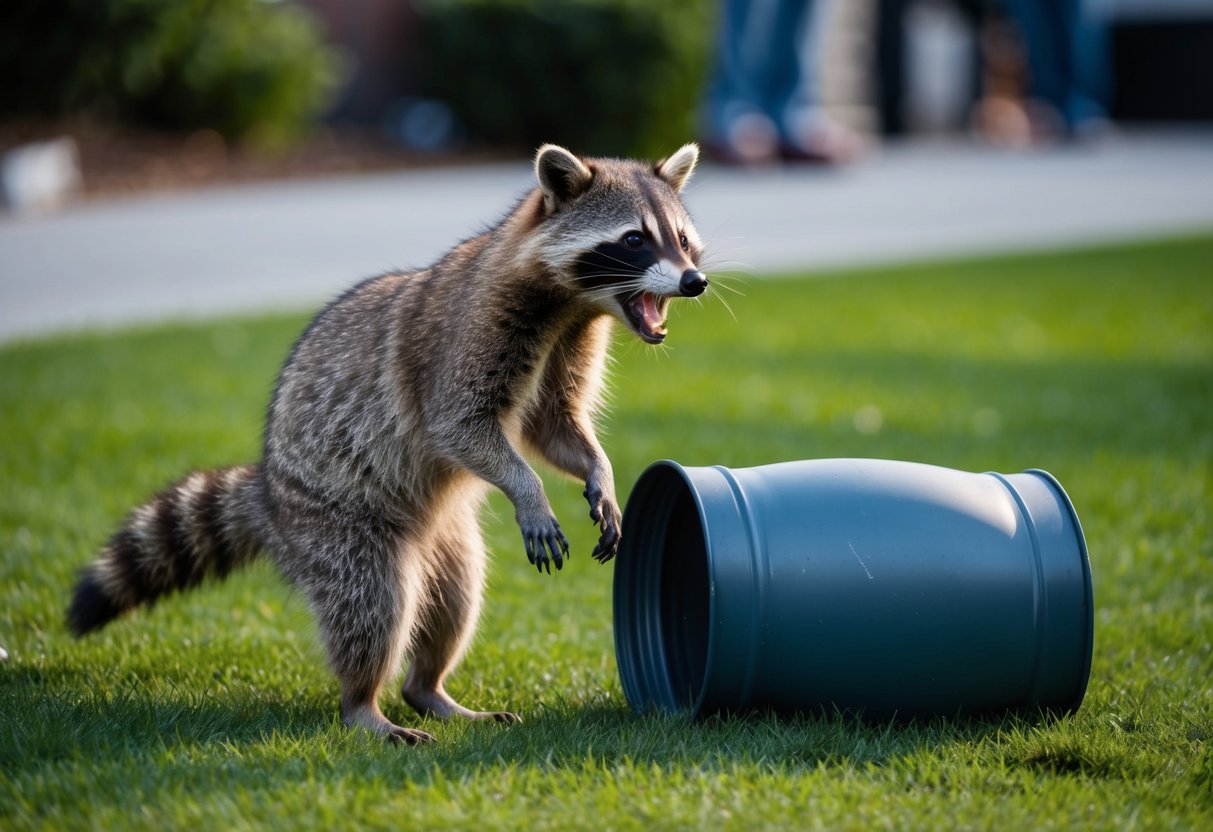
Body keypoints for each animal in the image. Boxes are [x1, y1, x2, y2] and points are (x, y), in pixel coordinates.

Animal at [67, 143, 708, 744]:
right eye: (633, 240)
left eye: (682, 240)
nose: (694, 281)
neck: (574, 306)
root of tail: (270, 495)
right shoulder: (472, 332)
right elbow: (459, 425)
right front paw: (528, 488)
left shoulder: (569, 344)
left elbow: (554, 427)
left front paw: (600, 471)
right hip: (337, 525)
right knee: (372, 605)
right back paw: (362, 704)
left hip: (446, 540)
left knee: (454, 599)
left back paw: (429, 689)